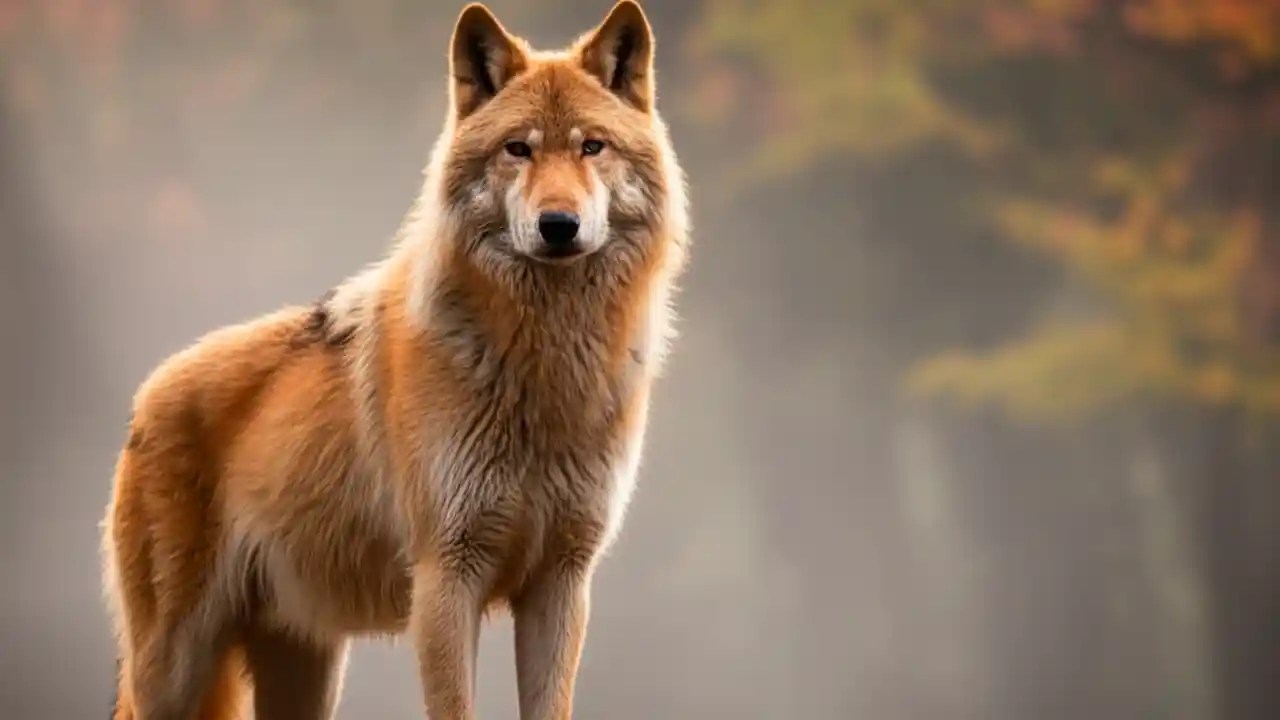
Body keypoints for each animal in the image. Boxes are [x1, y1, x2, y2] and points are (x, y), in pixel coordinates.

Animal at [101, 2, 689, 718]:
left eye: (591, 146)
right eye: (517, 149)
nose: (558, 225)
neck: (541, 364)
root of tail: (147, 395)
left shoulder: (561, 585)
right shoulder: (445, 580)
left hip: (306, 669)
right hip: (174, 671)